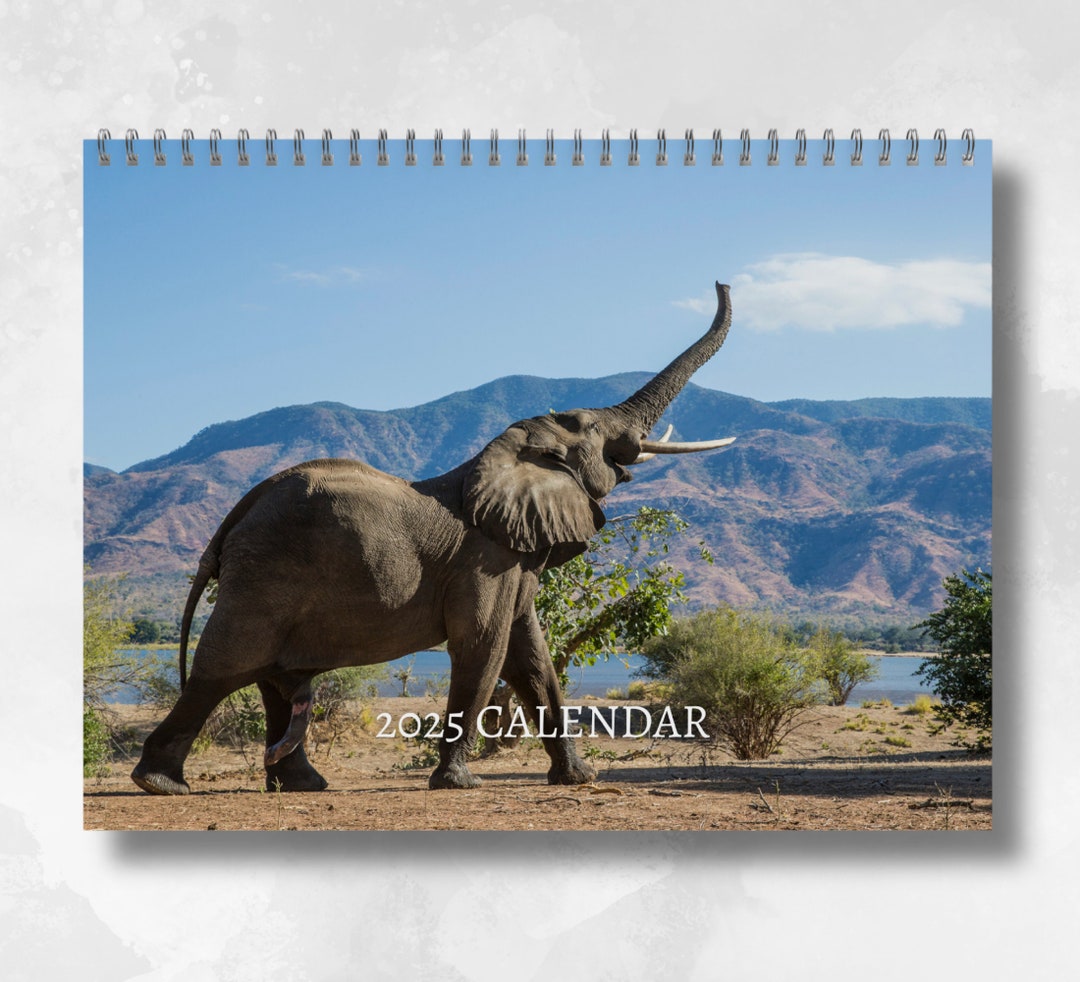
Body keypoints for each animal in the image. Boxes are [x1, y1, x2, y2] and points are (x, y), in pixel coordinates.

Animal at [130, 282, 735, 796]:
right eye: (590, 427)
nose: (722, 282)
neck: (504, 455)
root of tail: (235, 516)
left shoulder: (513, 559)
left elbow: (532, 659)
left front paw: (578, 779)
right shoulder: (485, 561)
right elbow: (484, 646)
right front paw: (459, 783)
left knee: (273, 680)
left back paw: (302, 785)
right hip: (264, 575)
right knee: (223, 670)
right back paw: (160, 784)